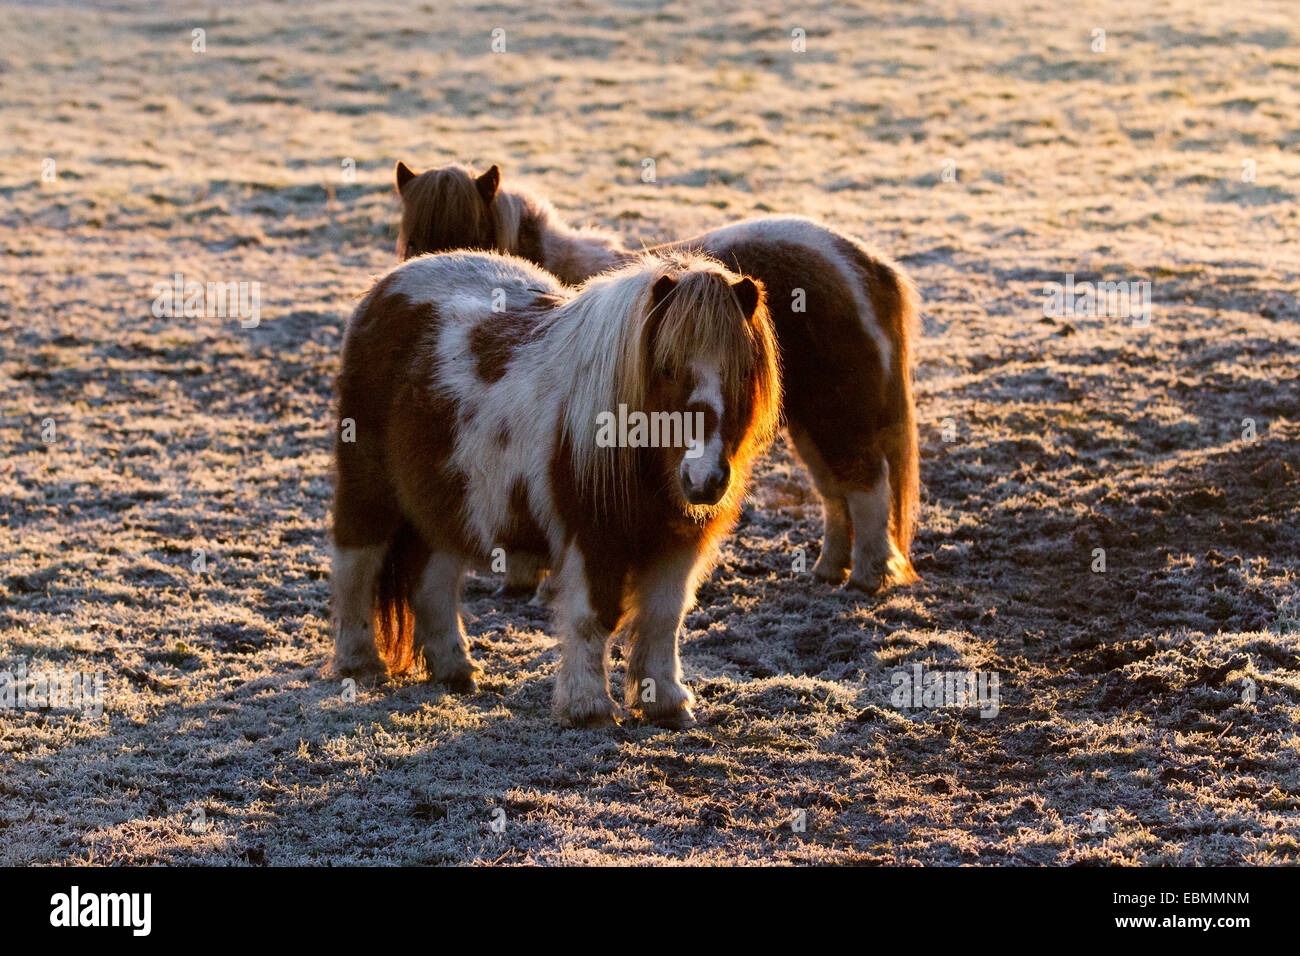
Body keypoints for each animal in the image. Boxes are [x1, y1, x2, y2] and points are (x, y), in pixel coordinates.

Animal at [331, 248, 781, 727]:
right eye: (667, 368)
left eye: (743, 372)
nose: (703, 479)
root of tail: (387, 286)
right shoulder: (590, 537)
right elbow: (592, 618)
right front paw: (589, 707)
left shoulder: (677, 541)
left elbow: (663, 618)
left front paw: (666, 703)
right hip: (369, 490)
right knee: (356, 564)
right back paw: (360, 663)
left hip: (443, 504)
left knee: (433, 579)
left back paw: (454, 669)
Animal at [394, 161, 920, 596]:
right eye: (413, 241)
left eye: (475, 235)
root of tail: (861, 263)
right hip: (811, 421)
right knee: (835, 491)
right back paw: (829, 569)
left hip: (839, 416)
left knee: (867, 487)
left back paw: (865, 578)